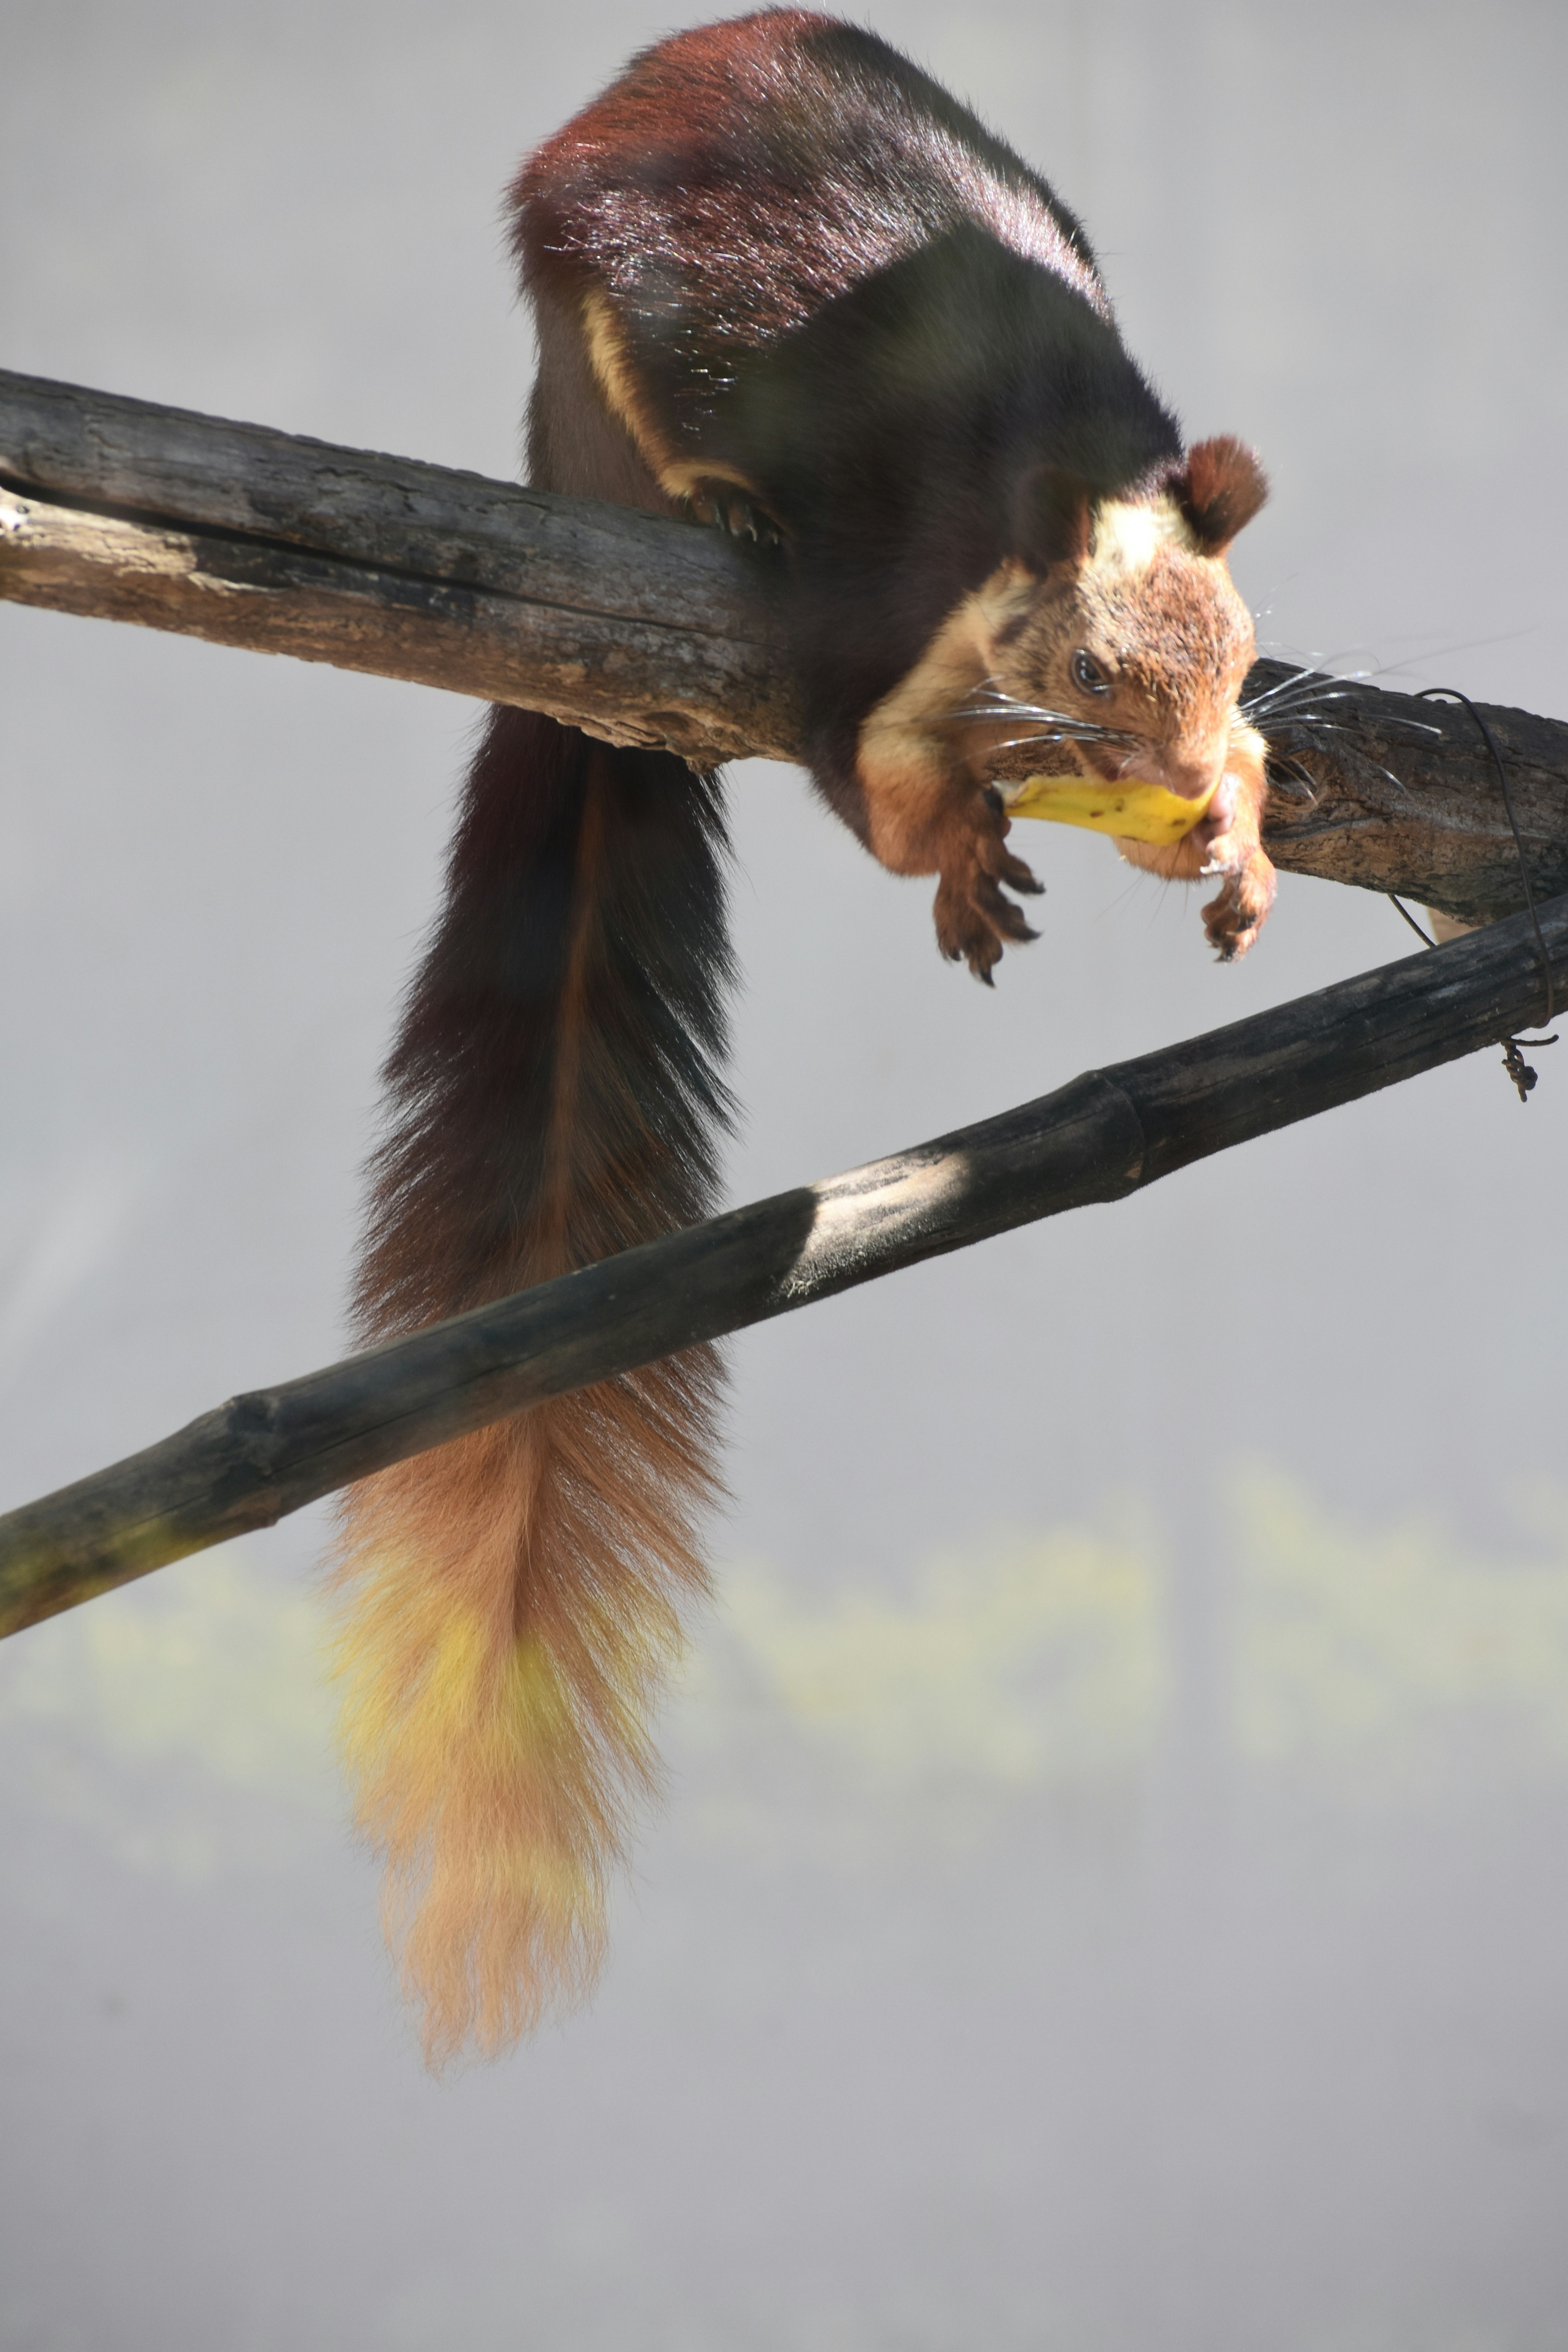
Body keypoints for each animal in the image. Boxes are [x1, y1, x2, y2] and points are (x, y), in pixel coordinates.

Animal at [331, 8, 1275, 2065]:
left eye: (1243, 648)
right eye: (1092, 670)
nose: (1170, 794)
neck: (1042, 478)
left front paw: (1239, 847)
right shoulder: (880, 620)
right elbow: (869, 778)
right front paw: (963, 862)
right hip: (607, 307)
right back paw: (710, 499)